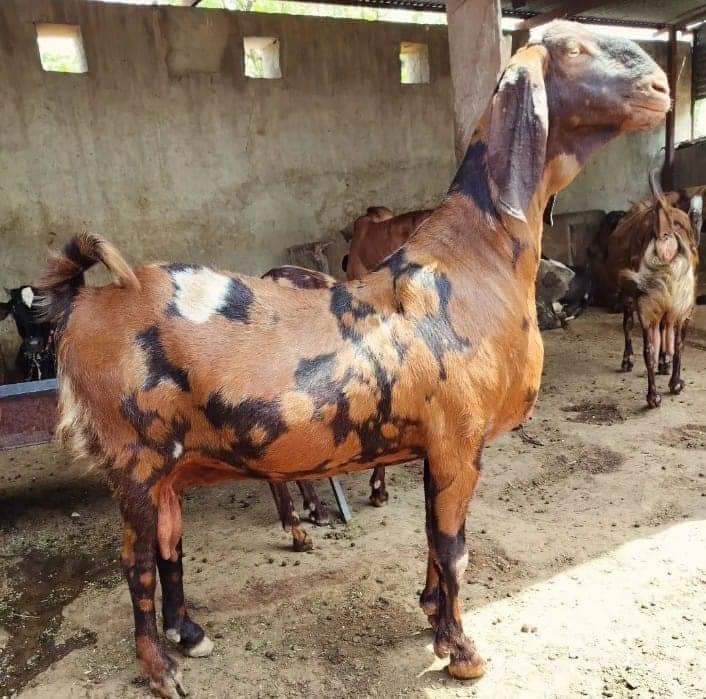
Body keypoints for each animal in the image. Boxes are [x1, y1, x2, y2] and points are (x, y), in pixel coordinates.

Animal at [37, 22, 668, 696]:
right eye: (573, 48)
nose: (661, 87)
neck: (472, 260)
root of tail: (82, 301)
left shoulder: (434, 443)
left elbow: (432, 537)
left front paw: (432, 616)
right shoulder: (458, 438)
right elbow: (453, 546)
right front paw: (462, 651)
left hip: (171, 465)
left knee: (167, 541)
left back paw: (191, 634)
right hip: (133, 457)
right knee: (135, 562)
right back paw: (160, 668)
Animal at [609, 172, 701, 407]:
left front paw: (663, 363)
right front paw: (664, 364)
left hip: (652, 303)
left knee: (651, 344)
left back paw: (654, 394)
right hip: (678, 304)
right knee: (674, 342)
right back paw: (671, 385)